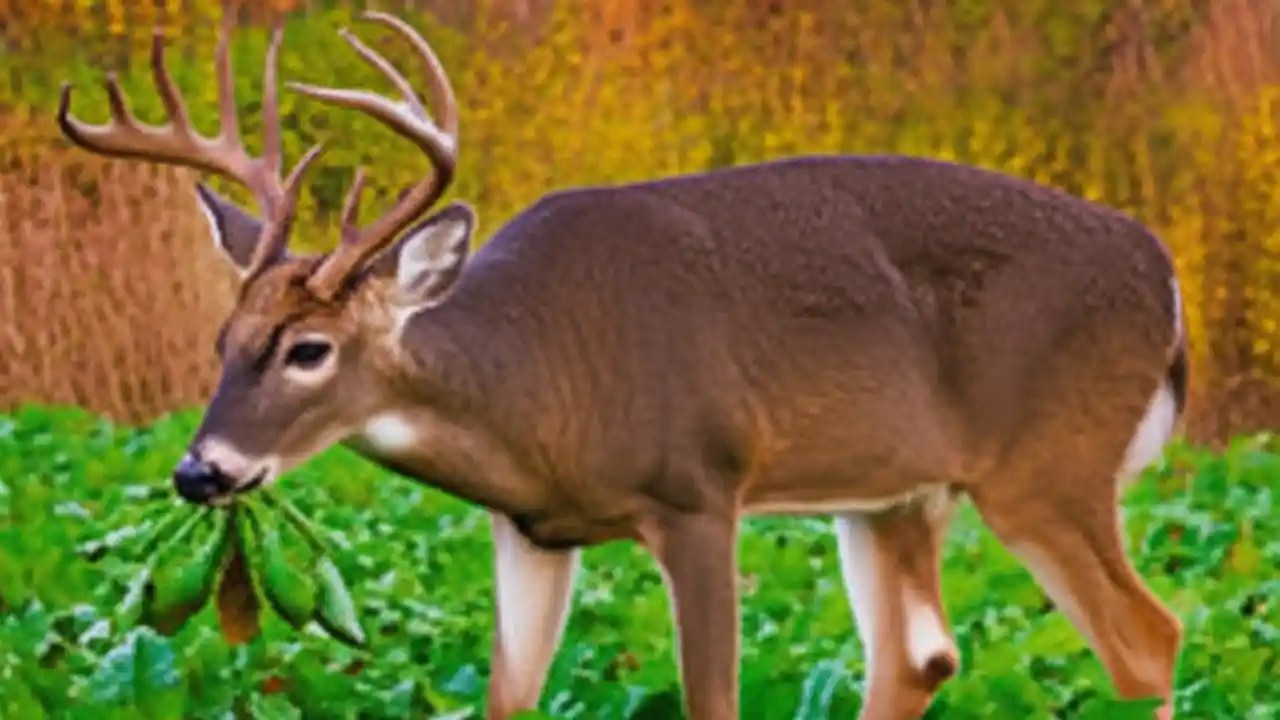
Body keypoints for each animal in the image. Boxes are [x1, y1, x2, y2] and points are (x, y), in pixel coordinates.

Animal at [56, 3, 1189, 719]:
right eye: (222, 341)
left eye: (308, 349)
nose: (202, 471)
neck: (538, 387)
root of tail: (1167, 281)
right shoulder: (528, 532)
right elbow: (506, 699)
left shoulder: (699, 488)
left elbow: (711, 700)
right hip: (892, 494)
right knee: (921, 658)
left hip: (1050, 465)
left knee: (1148, 640)